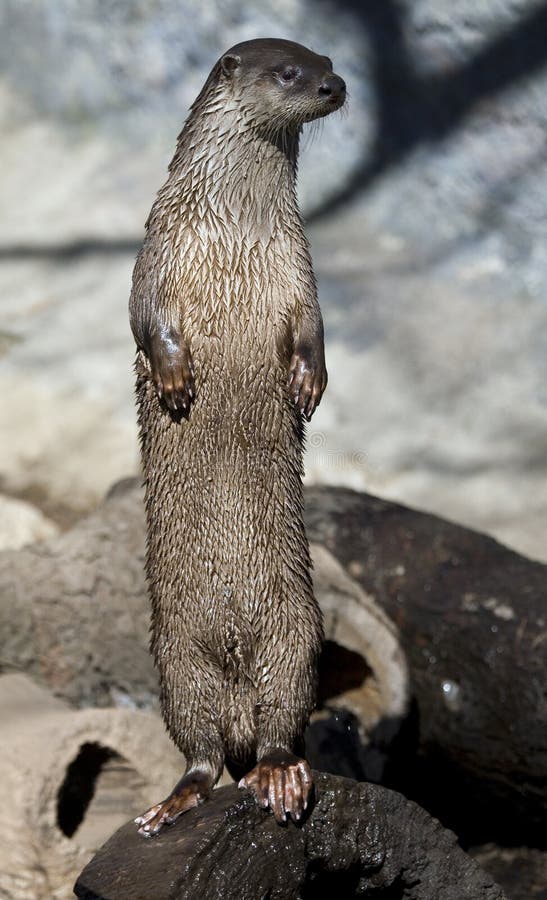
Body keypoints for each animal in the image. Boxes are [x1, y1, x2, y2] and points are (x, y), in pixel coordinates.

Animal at [130, 38, 346, 834]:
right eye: (287, 71)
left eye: (328, 58)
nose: (334, 85)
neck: (234, 234)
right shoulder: (158, 250)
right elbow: (148, 317)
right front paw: (173, 379)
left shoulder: (298, 265)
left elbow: (313, 329)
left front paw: (309, 386)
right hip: (174, 658)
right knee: (199, 751)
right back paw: (172, 802)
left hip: (295, 632)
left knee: (281, 723)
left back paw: (279, 776)